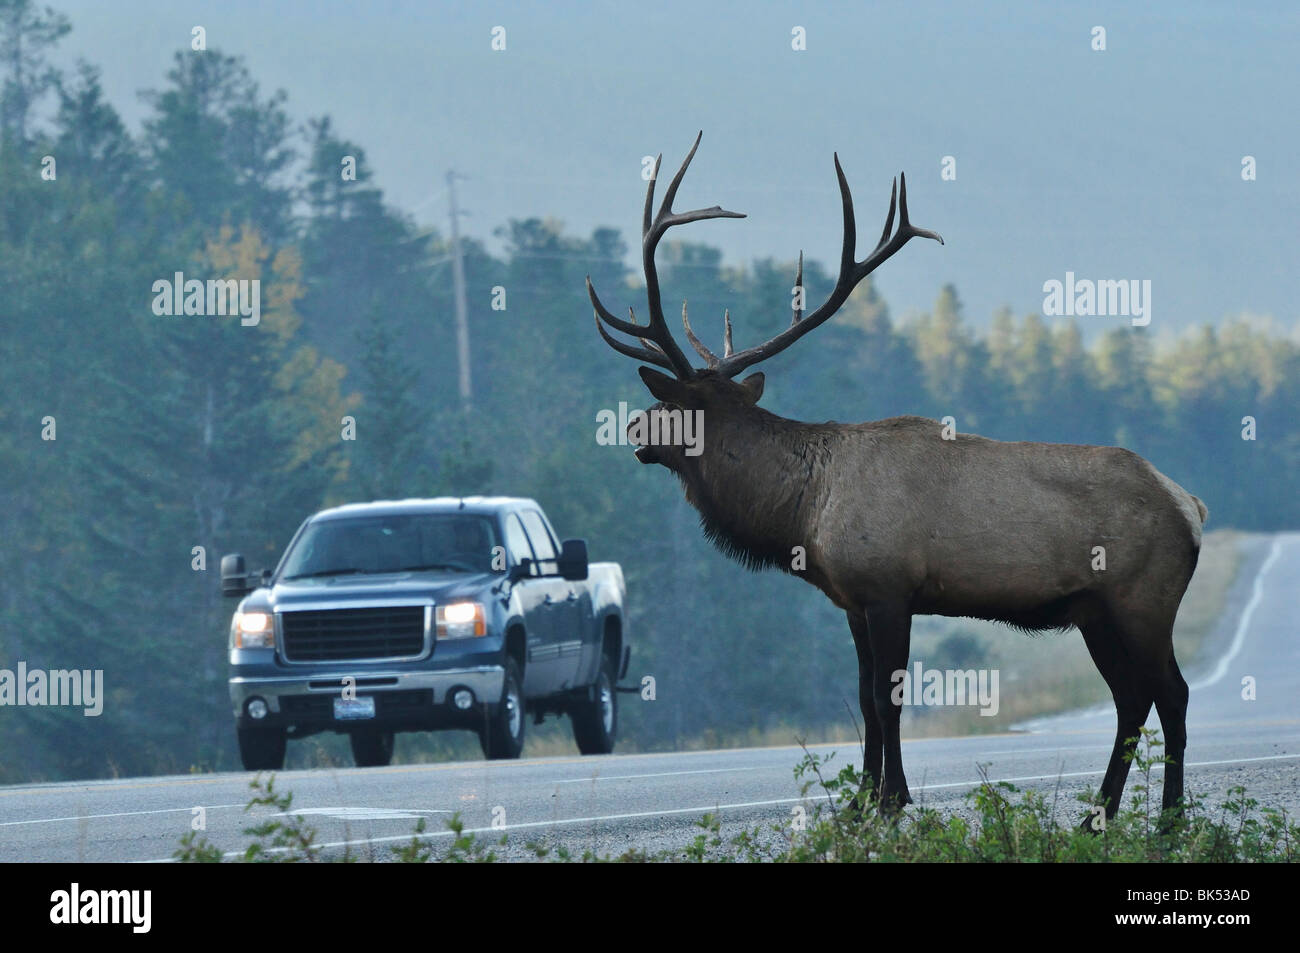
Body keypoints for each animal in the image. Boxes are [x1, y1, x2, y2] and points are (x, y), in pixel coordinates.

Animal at [586, 133, 1208, 828]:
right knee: (1132, 699)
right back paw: (1097, 816)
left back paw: (1168, 818)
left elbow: (889, 700)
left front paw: (891, 802)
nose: (632, 429)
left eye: (673, 404)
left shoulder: (889, 587)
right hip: (1095, 610)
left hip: (1143, 598)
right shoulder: (853, 600)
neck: (803, 513)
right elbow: (863, 699)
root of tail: (1191, 506)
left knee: (1171, 694)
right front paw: (861, 801)